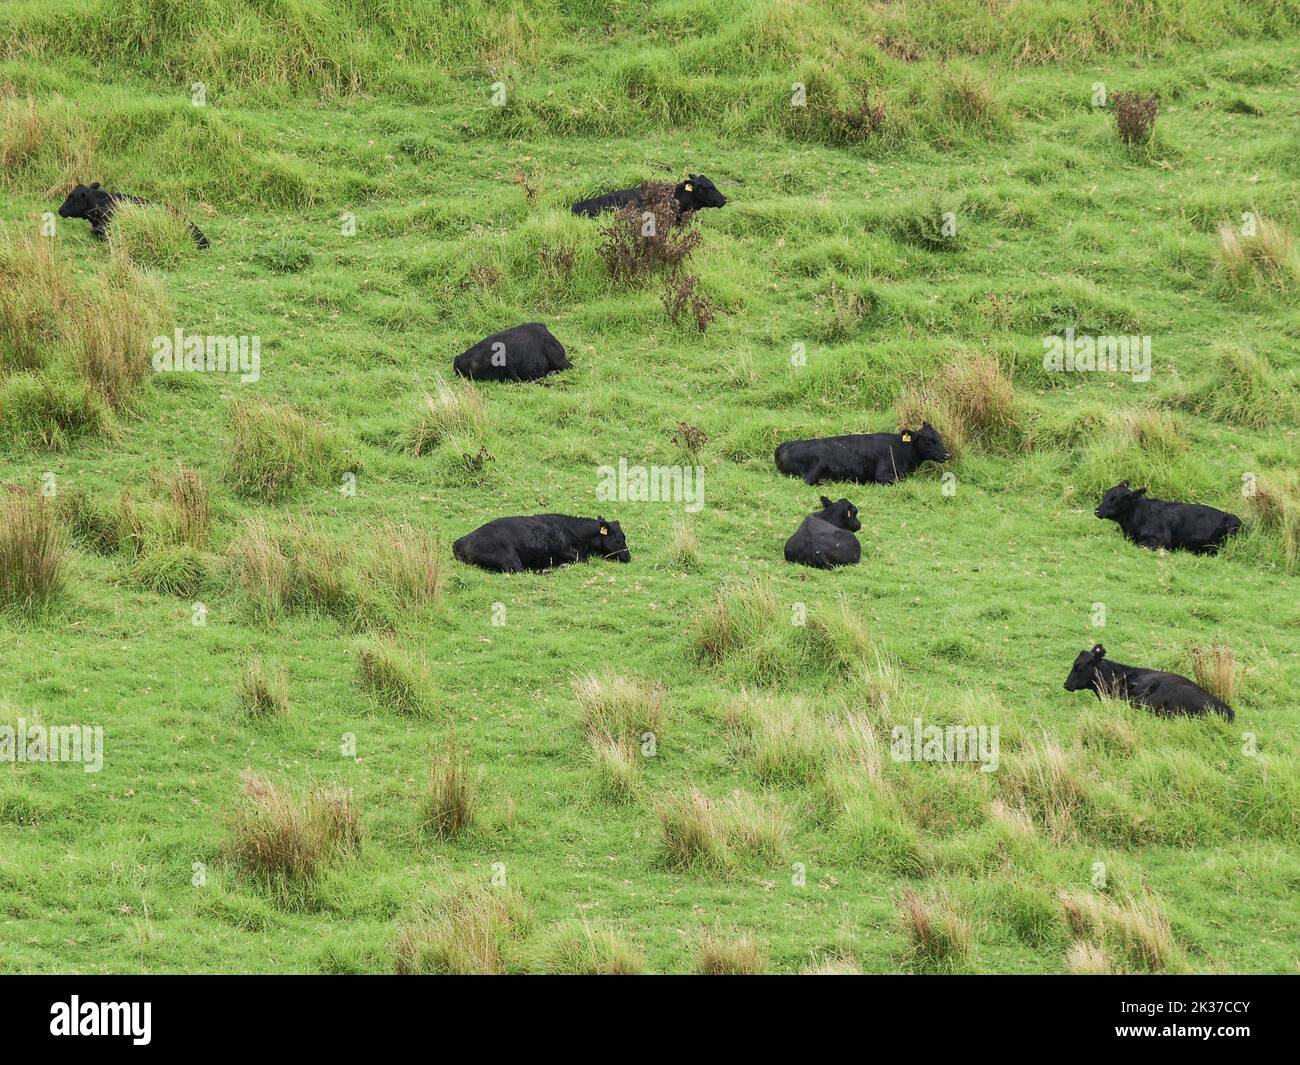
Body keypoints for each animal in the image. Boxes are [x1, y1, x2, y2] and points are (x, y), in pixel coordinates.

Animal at [774, 423, 950, 486]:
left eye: (940, 437)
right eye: (929, 441)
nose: (947, 455)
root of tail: (785, 446)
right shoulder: (882, 474)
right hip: (818, 463)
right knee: (808, 481)